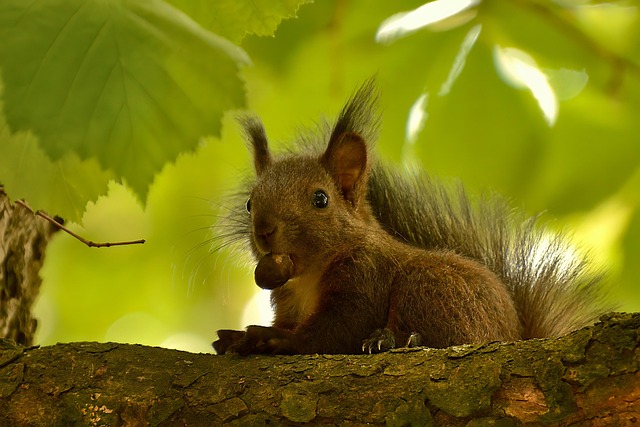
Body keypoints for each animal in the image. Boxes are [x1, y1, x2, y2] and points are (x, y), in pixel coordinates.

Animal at [213, 79, 612, 355]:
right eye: (249, 203)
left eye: (320, 199)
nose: (264, 230)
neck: (307, 275)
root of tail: (514, 334)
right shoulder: (288, 302)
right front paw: (238, 336)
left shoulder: (366, 278)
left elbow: (334, 331)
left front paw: (273, 339)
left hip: (428, 284)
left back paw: (398, 339)